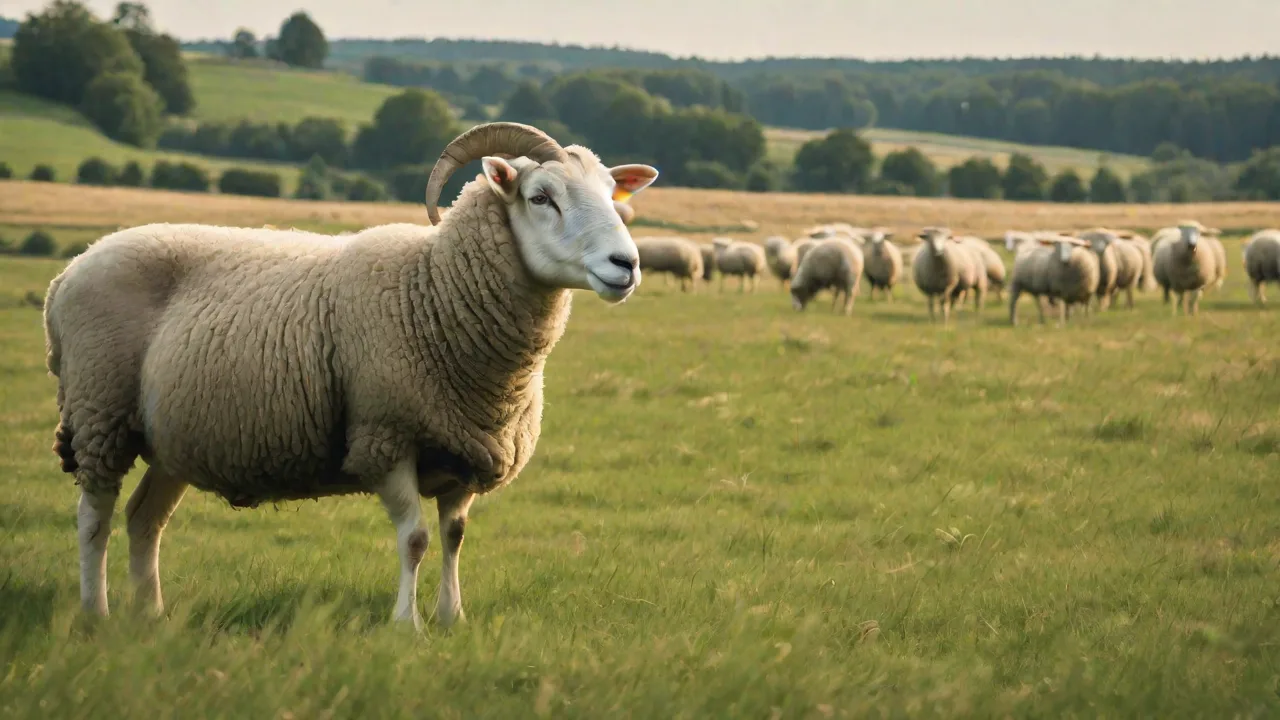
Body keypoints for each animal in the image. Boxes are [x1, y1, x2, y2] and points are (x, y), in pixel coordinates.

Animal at [42, 122, 659, 628]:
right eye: (540, 197)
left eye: (612, 197)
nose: (626, 265)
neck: (432, 290)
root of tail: (69, 269)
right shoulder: (384, 438)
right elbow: (414, 540)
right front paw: (406, 626)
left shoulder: (466, 447)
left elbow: (454, 537)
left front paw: (452, 618)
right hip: (100, 412)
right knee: (94, 517)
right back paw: (95, 612)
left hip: (171, 438)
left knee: (144, 519)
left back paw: (150, 613)